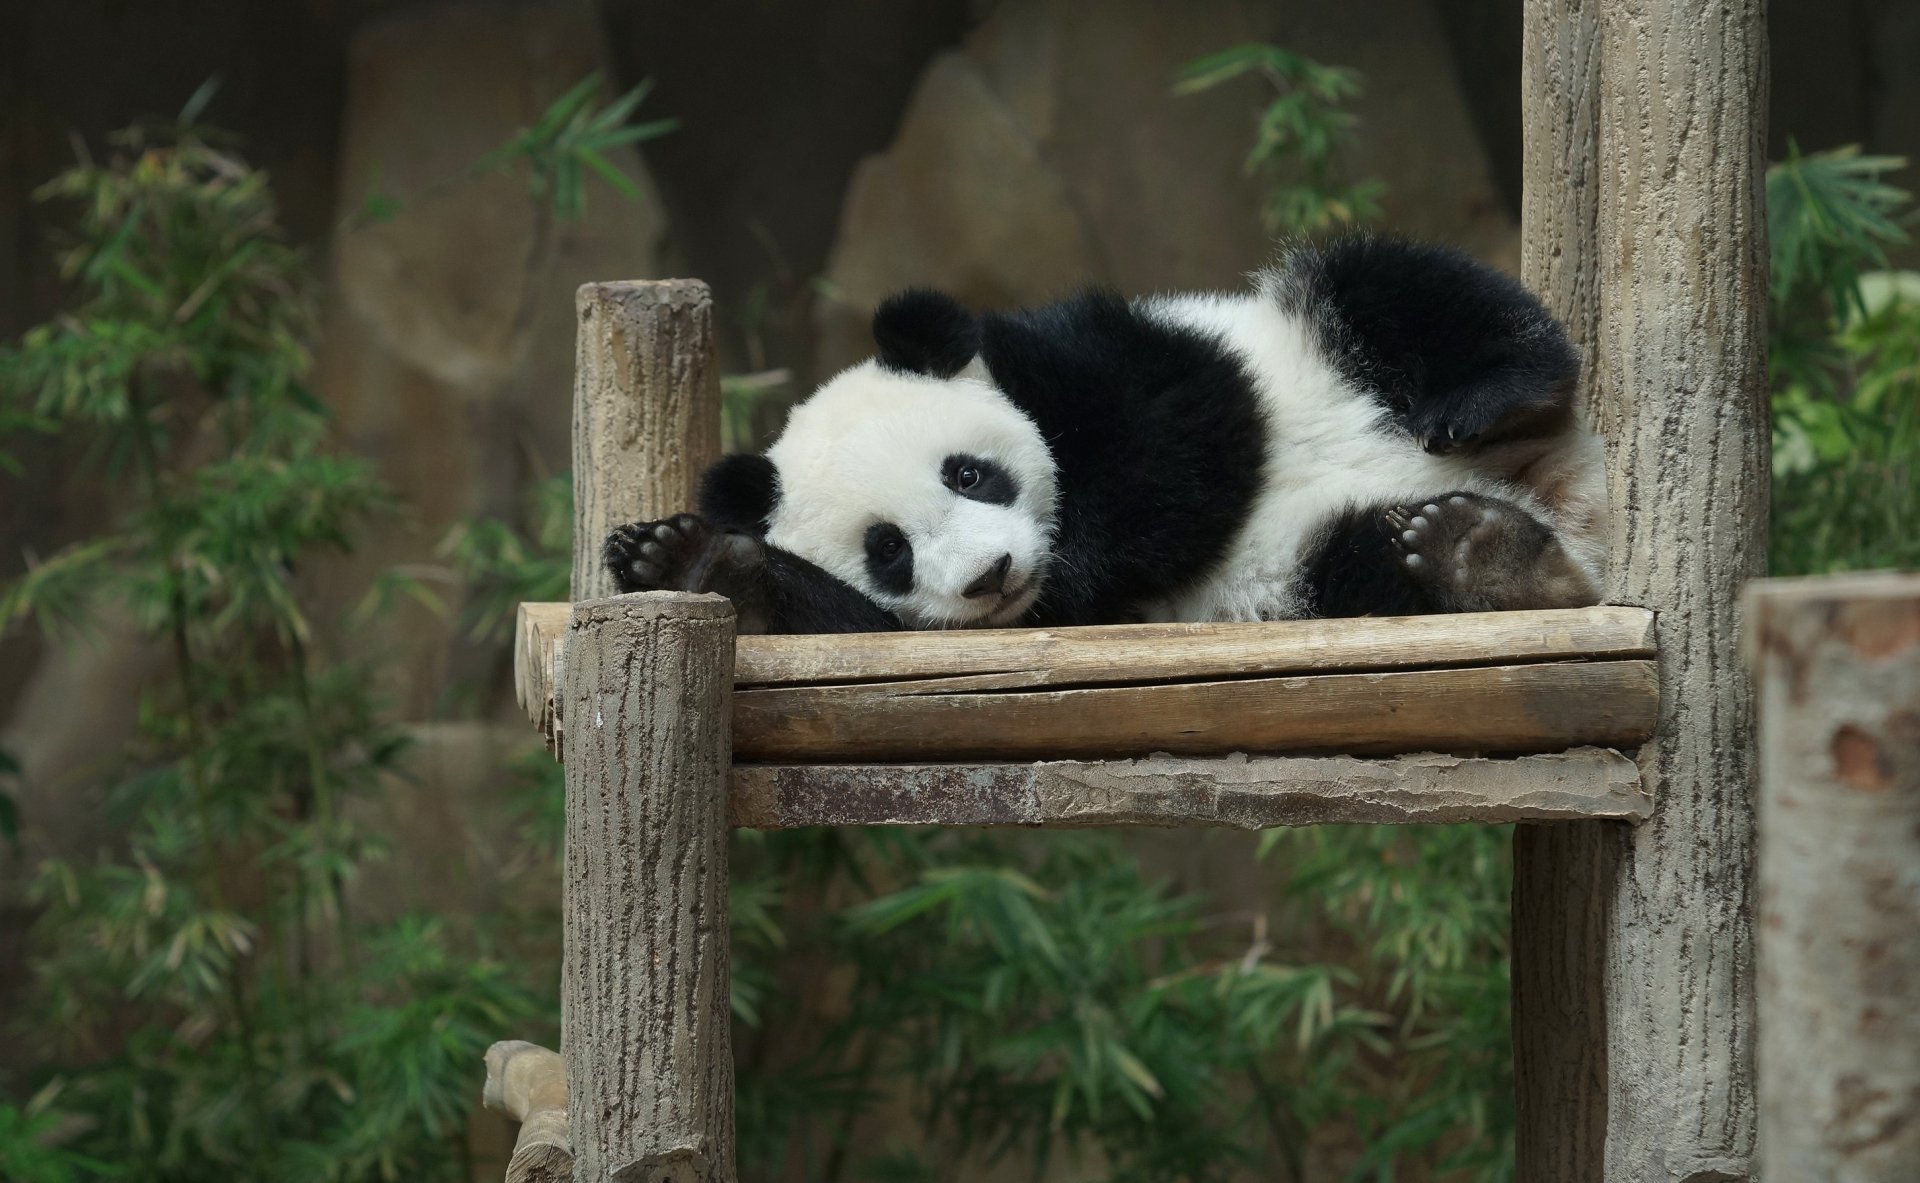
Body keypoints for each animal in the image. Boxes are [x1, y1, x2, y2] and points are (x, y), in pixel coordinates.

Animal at [604, 234, 1607, 635]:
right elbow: (855, 623)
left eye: (969, 475)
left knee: (1391, 288)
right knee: (1365, 560)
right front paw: (686, 561)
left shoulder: (1101, 354)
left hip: (1315, 337)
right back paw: (1485, 559)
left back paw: (1491, 404)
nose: (991, 574)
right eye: (888, 550)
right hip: (1310, 568)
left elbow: (1178, 435)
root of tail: (1555, 483)